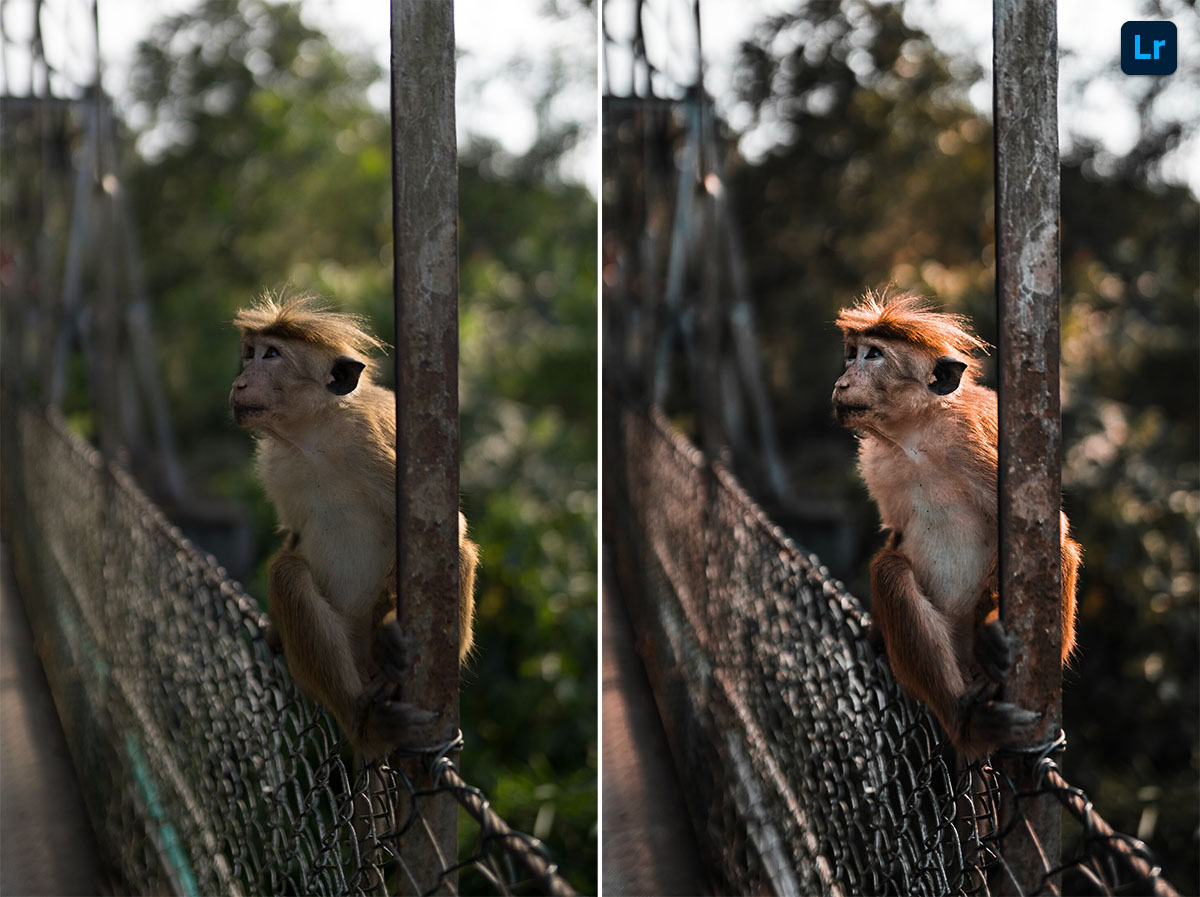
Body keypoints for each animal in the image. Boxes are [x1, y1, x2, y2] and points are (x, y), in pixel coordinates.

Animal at [230, 293, 478, 759]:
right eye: (249, 353)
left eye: (272, 355)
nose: (239, 383)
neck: (313, 439)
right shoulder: (276, 464)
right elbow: (295, 535)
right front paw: (272, 630)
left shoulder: (369, 443)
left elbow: (448, 534)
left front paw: (393, 633)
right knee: (290, 572)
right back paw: (360, 720)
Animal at [831, 290, 1080, 760]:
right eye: (851, 354)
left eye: (874, 355)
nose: (841, 382)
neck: (916, 438)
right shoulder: (877, 462)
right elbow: (897, 534)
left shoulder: (972, 443)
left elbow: (1053, 534)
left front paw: (997, 635)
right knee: (892, 569)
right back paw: (961, 717)